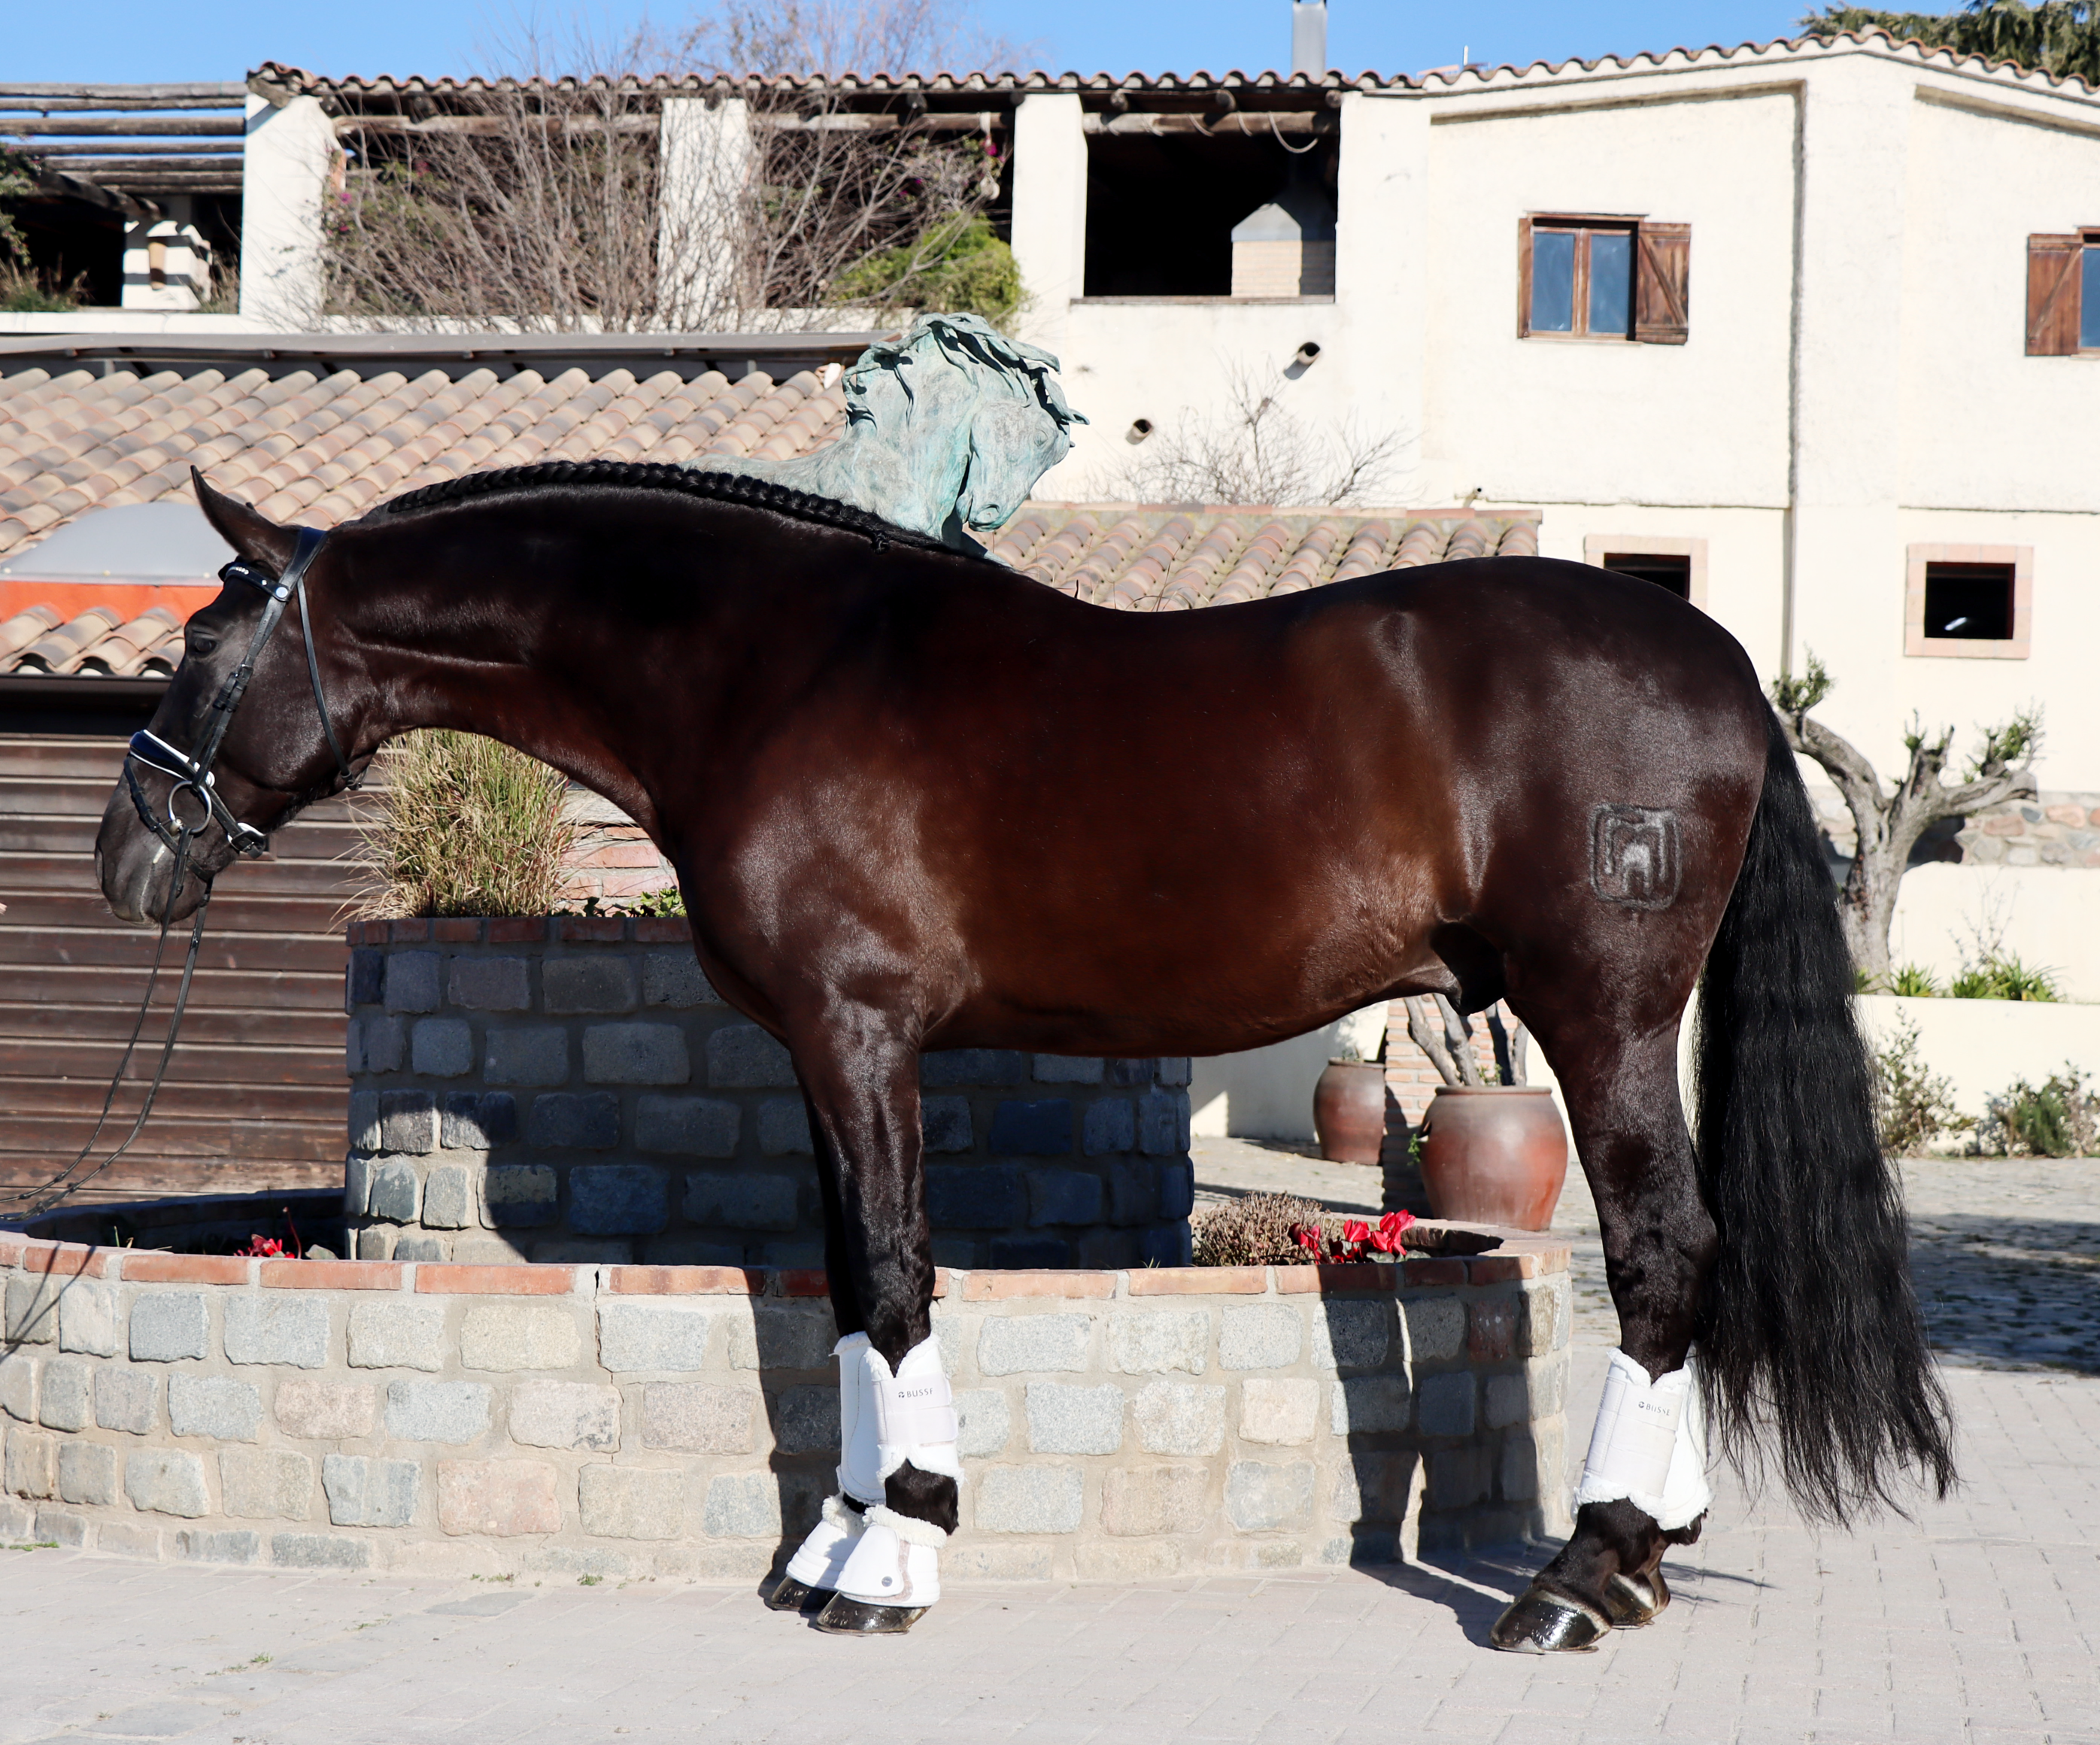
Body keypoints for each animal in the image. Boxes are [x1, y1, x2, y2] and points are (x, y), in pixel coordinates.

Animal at [96, 460, 1954, 1647]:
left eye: (197, 646)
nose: (128, 856)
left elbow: (893, 1268)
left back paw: (1581, 1575)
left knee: (1661, 1253)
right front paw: (839, 1533)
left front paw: (890, 1554)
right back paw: (1645, 1547)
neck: (770, 671)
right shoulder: (819, 1053)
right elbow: (848, 1277)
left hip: (1603, 1011)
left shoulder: (860, 1033)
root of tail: (1713, 657)